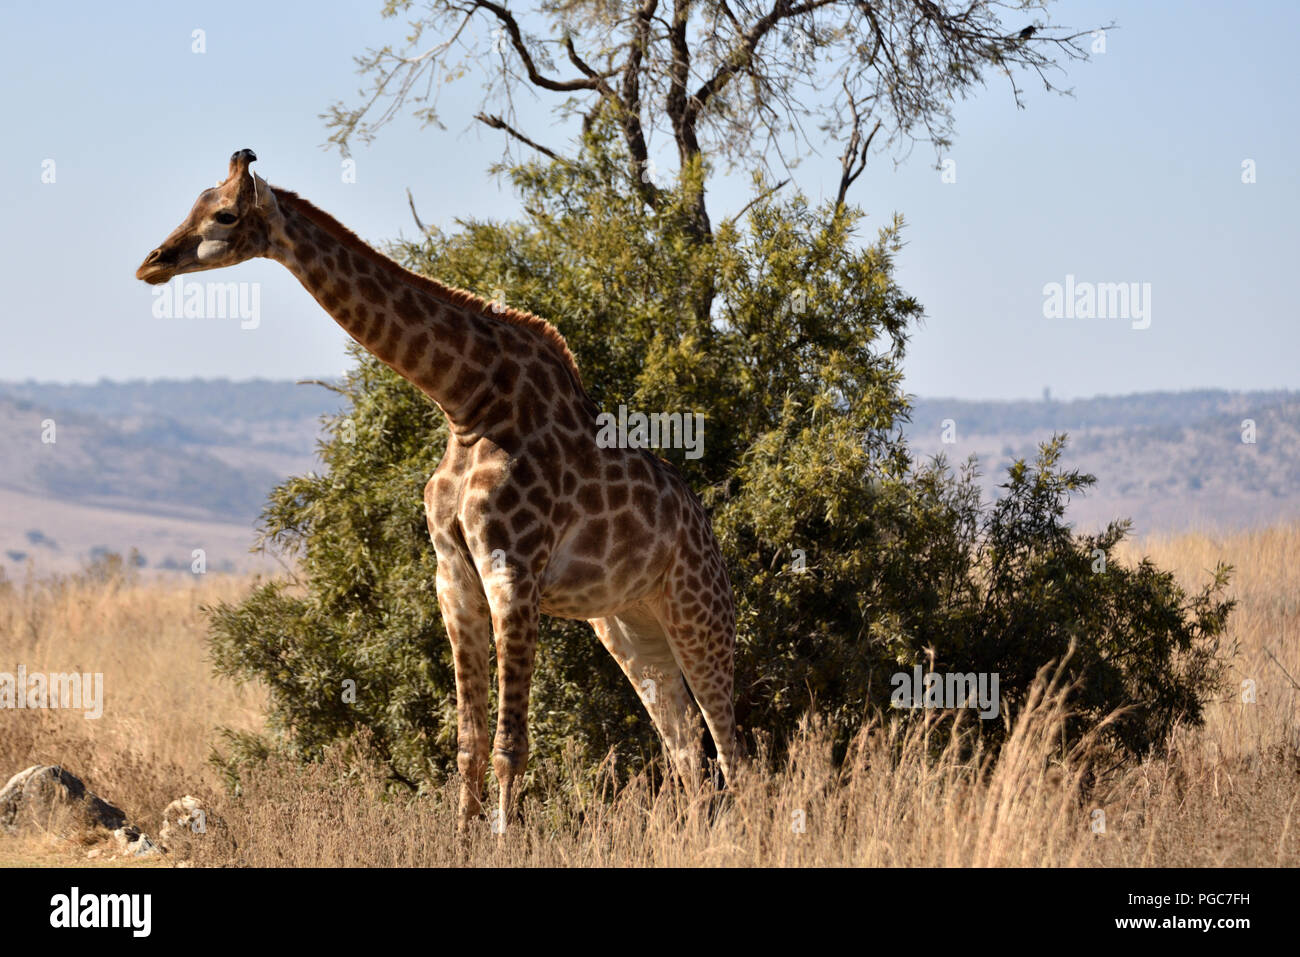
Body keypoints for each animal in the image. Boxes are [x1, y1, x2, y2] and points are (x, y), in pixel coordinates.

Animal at [136, 149, 741, 829]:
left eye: (224, 214)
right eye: (194, 203)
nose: (152, 262)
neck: (467, 404)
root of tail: (706, 527)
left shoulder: (512, 572)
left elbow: (510, 745)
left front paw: (504, 839)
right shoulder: (453, 577)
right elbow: (467, 743)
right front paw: (461, 836)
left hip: (698, 608)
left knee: (732, 746)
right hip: (628, 623)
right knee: (686, 747)